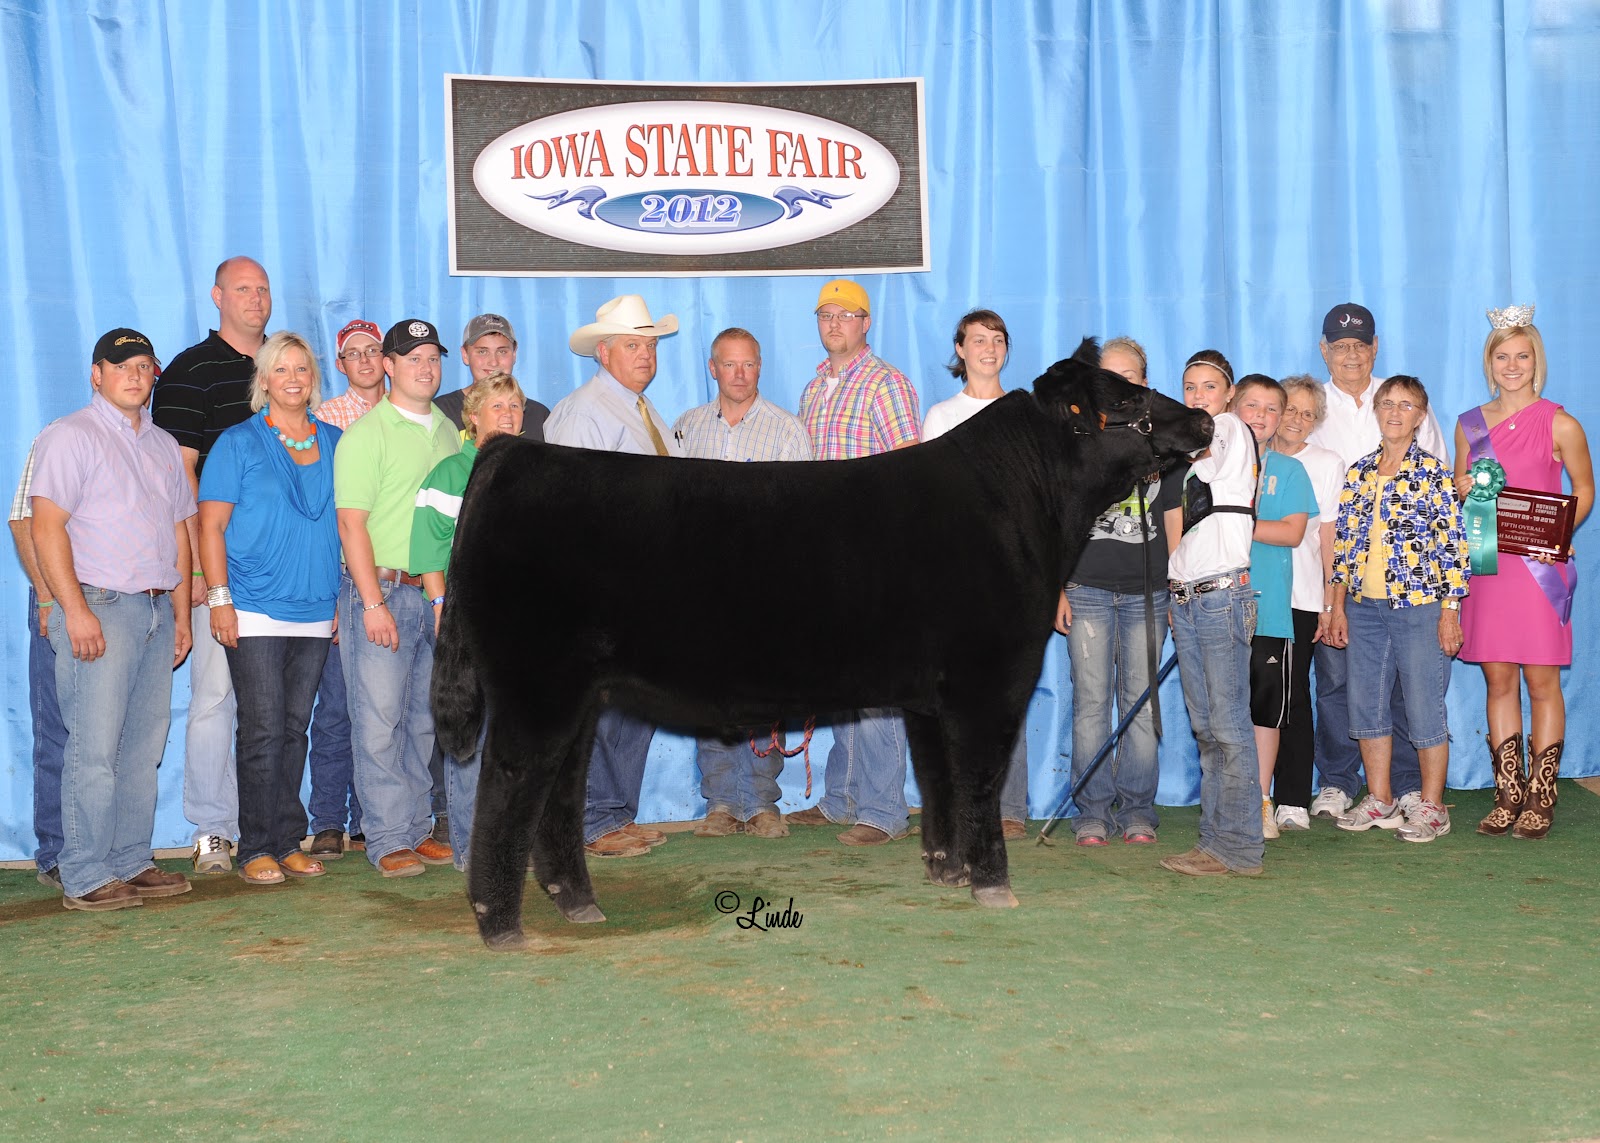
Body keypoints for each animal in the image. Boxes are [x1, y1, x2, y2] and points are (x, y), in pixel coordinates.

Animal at [433, 341, 1212, 949]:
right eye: (1125, 394)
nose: (1204, 417)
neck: (1024, 500)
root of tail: (511, 451)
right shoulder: (989, 679)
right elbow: (981, 780)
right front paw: (993, 882)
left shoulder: (928, 694)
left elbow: (939, 780)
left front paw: (945, 868)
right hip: (536, 684)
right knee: (508, 784)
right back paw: (500, 922)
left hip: (578, 691)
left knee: (558, 791)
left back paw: (578, 903)